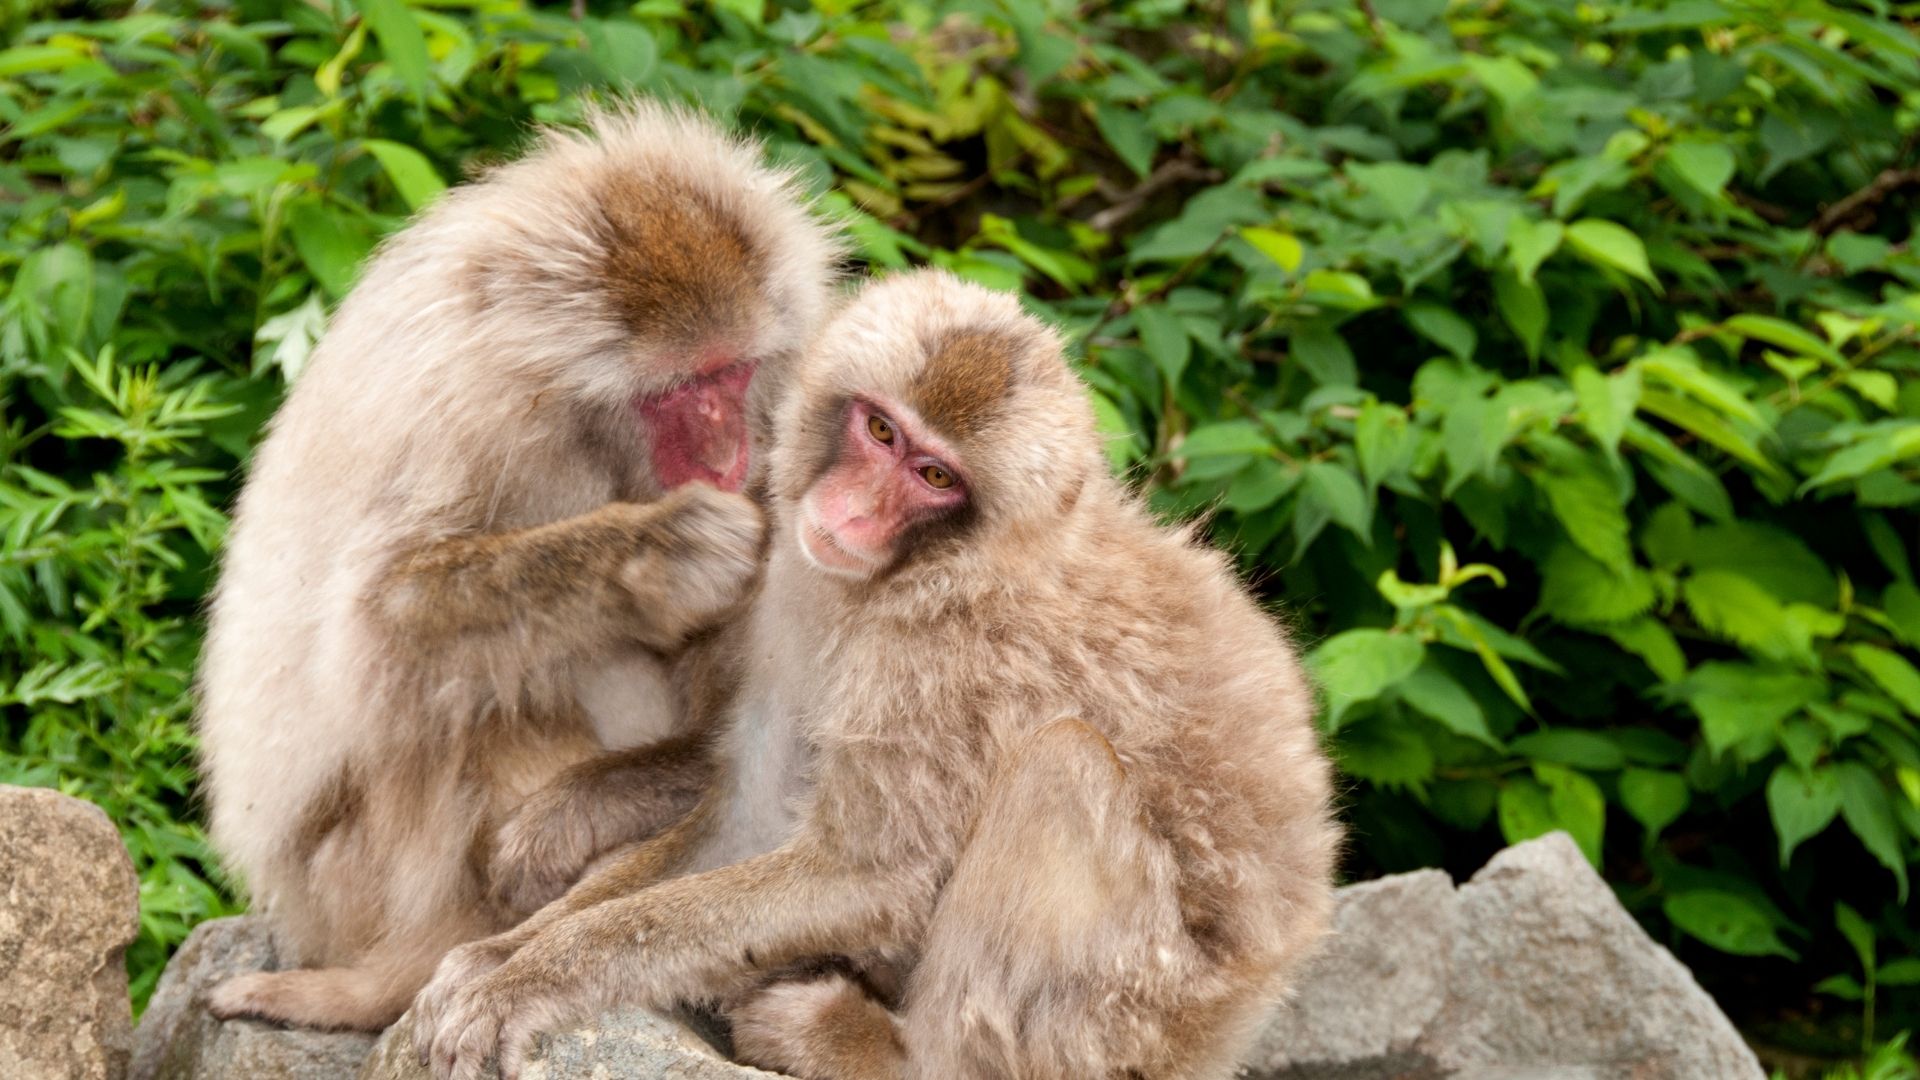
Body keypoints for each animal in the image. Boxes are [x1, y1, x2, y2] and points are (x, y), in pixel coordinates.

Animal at [193, 102, 844, 1033]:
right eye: (677, 391)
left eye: (733, 372)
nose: (727, 454)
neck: (573, 420)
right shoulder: (466, 419)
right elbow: (381, 616)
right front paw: (665, 551)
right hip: (345, 882)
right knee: (459, 685)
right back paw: (388, 982)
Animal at [407, 268, 1341, 1080]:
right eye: (881, 431)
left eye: (935, 476)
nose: (853, 513)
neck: (929, 572)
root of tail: (1238, 1017)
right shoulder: (790, 593)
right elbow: (748, 819)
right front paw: (497, 954)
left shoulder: (933, 668)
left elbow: (864, 875)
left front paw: (533, 979)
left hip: (1132, 1016)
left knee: (1061, 768)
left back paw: (889, 1053)